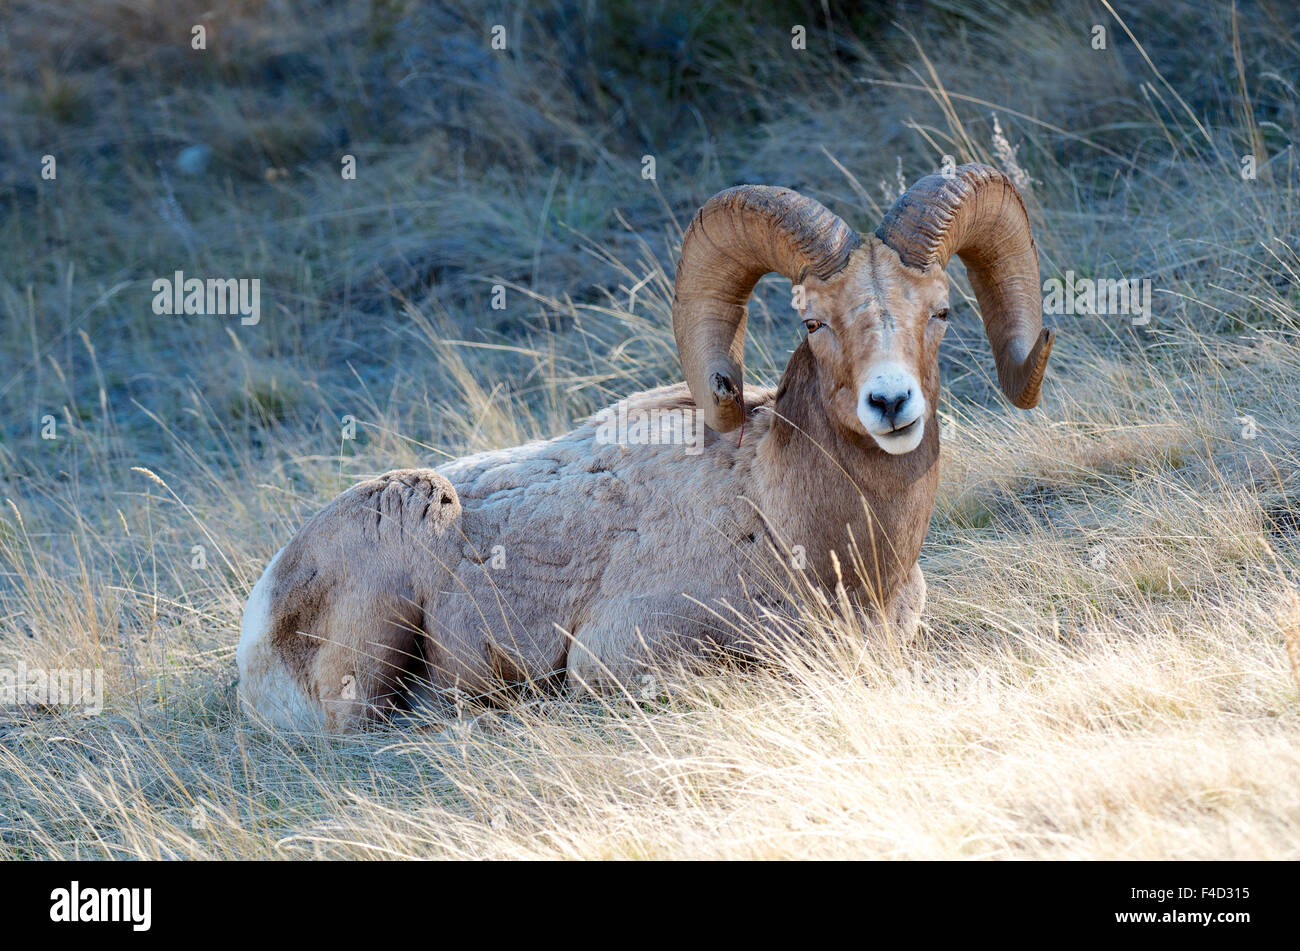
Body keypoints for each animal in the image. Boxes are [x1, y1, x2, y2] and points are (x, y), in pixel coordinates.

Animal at [238, 163, 1056, 731]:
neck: (795, 529)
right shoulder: (626, 653)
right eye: (814, 321)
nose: (891, 404)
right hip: (408, 538)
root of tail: (265, 603)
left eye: (942, 311)